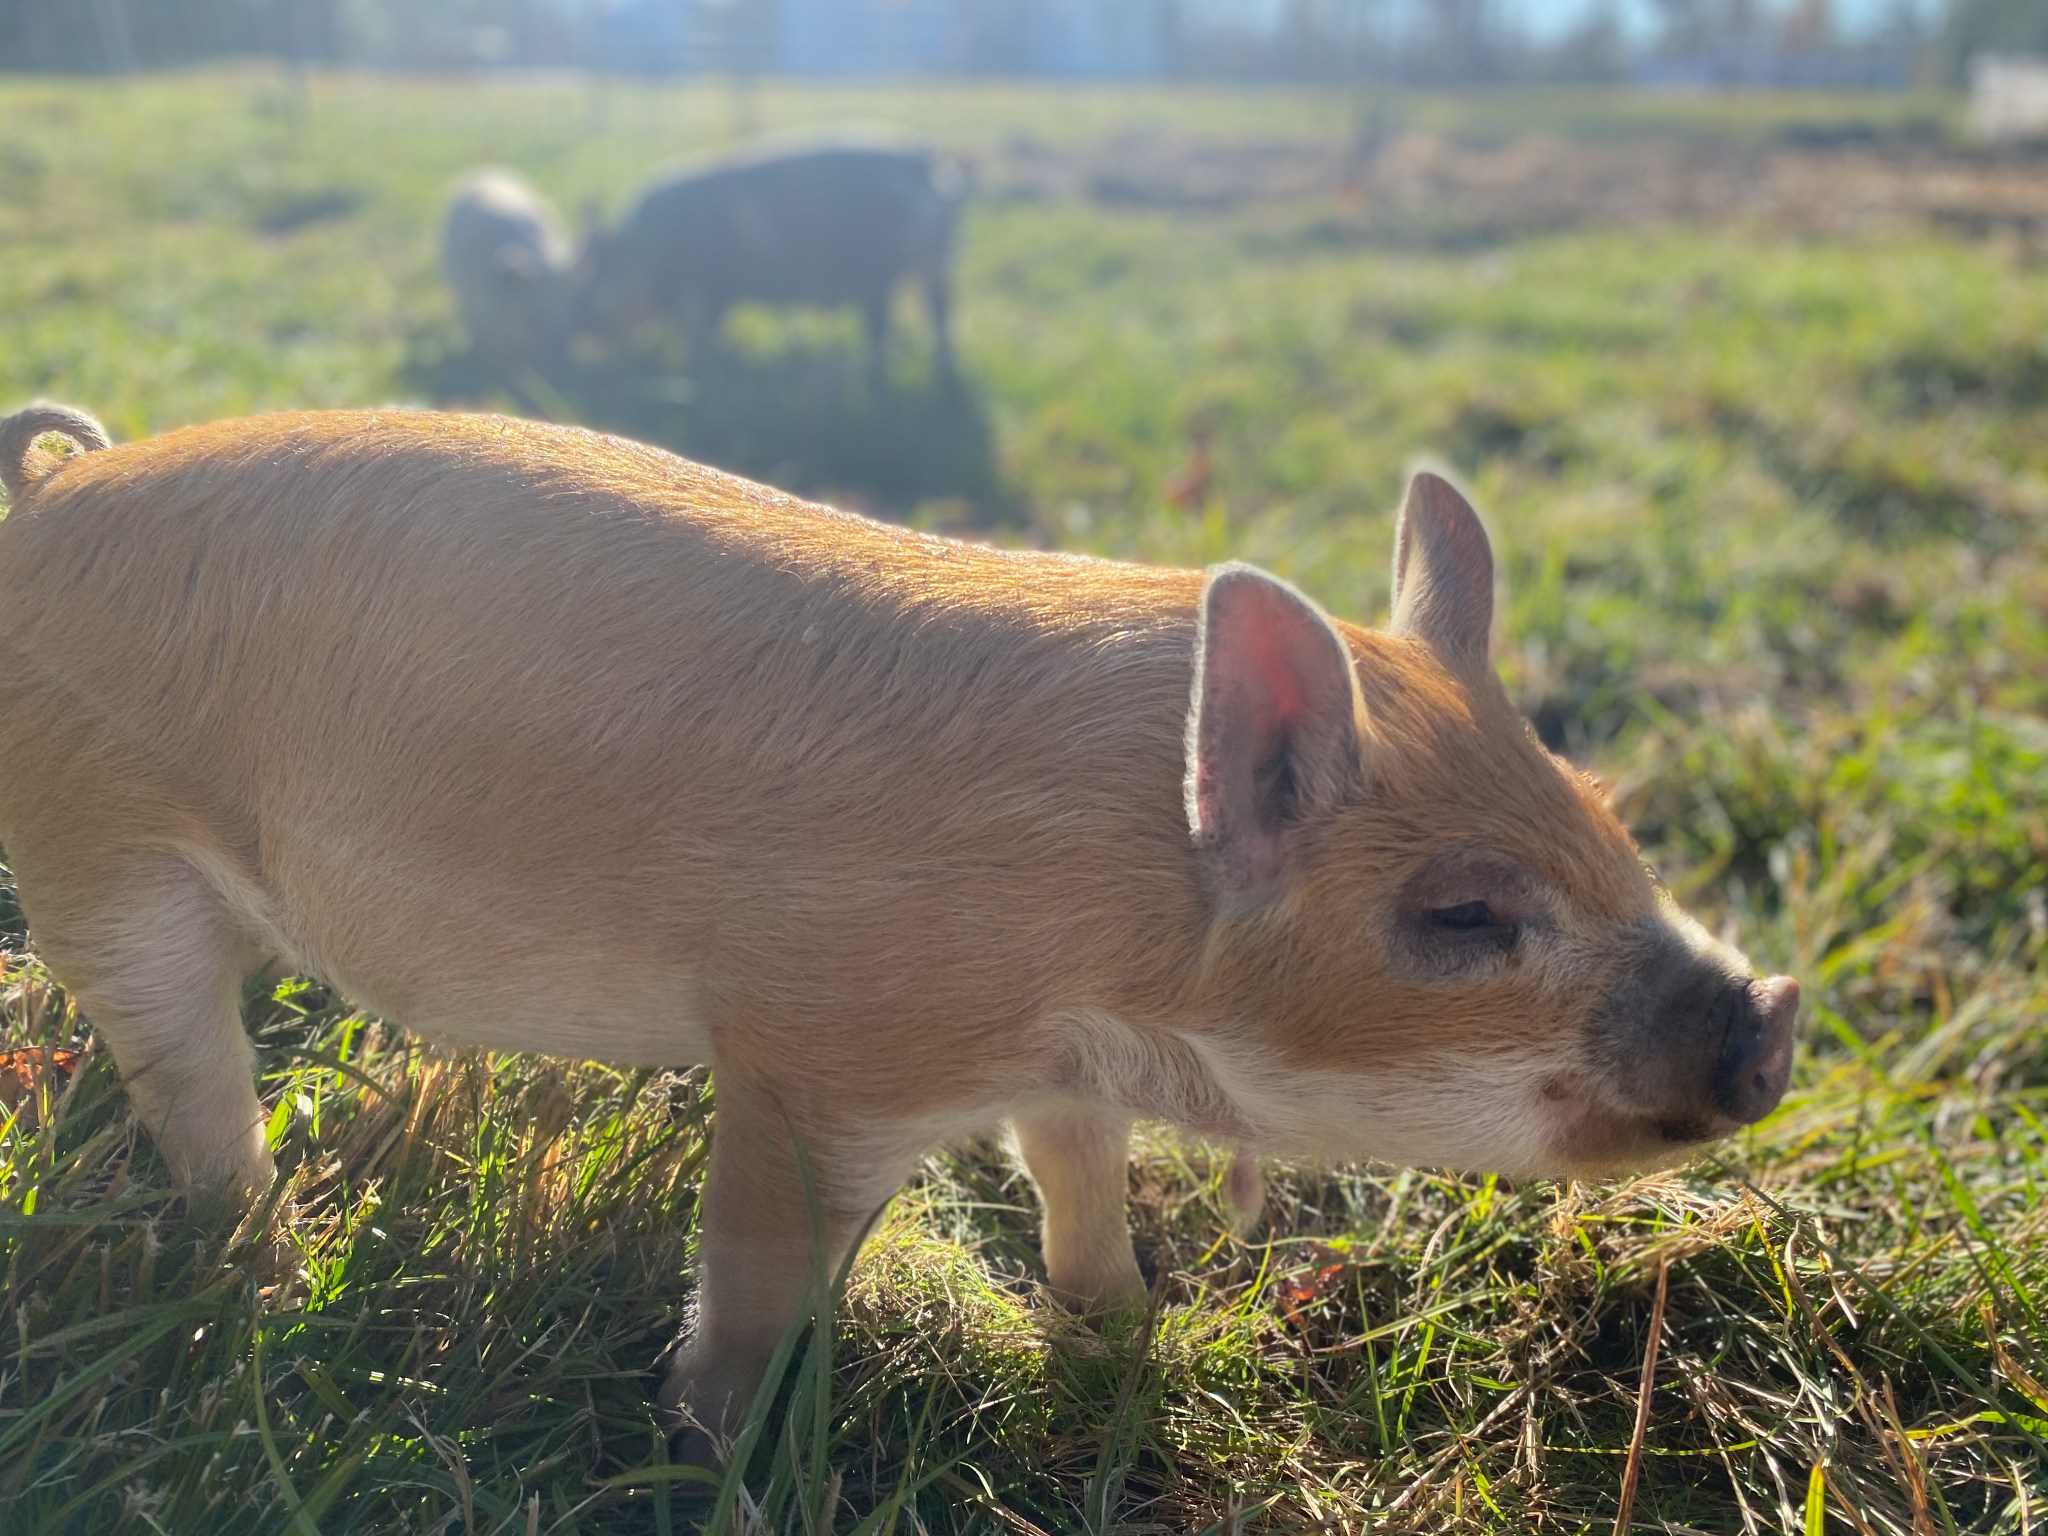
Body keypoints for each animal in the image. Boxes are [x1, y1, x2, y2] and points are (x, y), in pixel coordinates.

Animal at [0, 404, 1798, 1451]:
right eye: (1463, 912)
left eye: (1609, 828)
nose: (1771, 1012)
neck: (1115, 917)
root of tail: (42, 494)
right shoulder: (810, 1053)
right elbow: (756, 1273)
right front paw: (713, 1448)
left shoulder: (1052, 1070)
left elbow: (1076, 1181)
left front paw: (1120, 1335)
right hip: (97, 860)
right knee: (190, 1084)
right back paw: (271, 1269)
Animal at [579, 142, 964, 378]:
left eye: (596, 271)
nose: (582, 333)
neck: (645, 253)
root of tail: (919, 161)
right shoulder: (717, 297)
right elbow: (712, 331)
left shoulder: (696, 291)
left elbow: (698, 334)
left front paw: (699, 366)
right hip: (939, 265)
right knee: (940, 316)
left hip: (880, 277)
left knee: (884, 328)